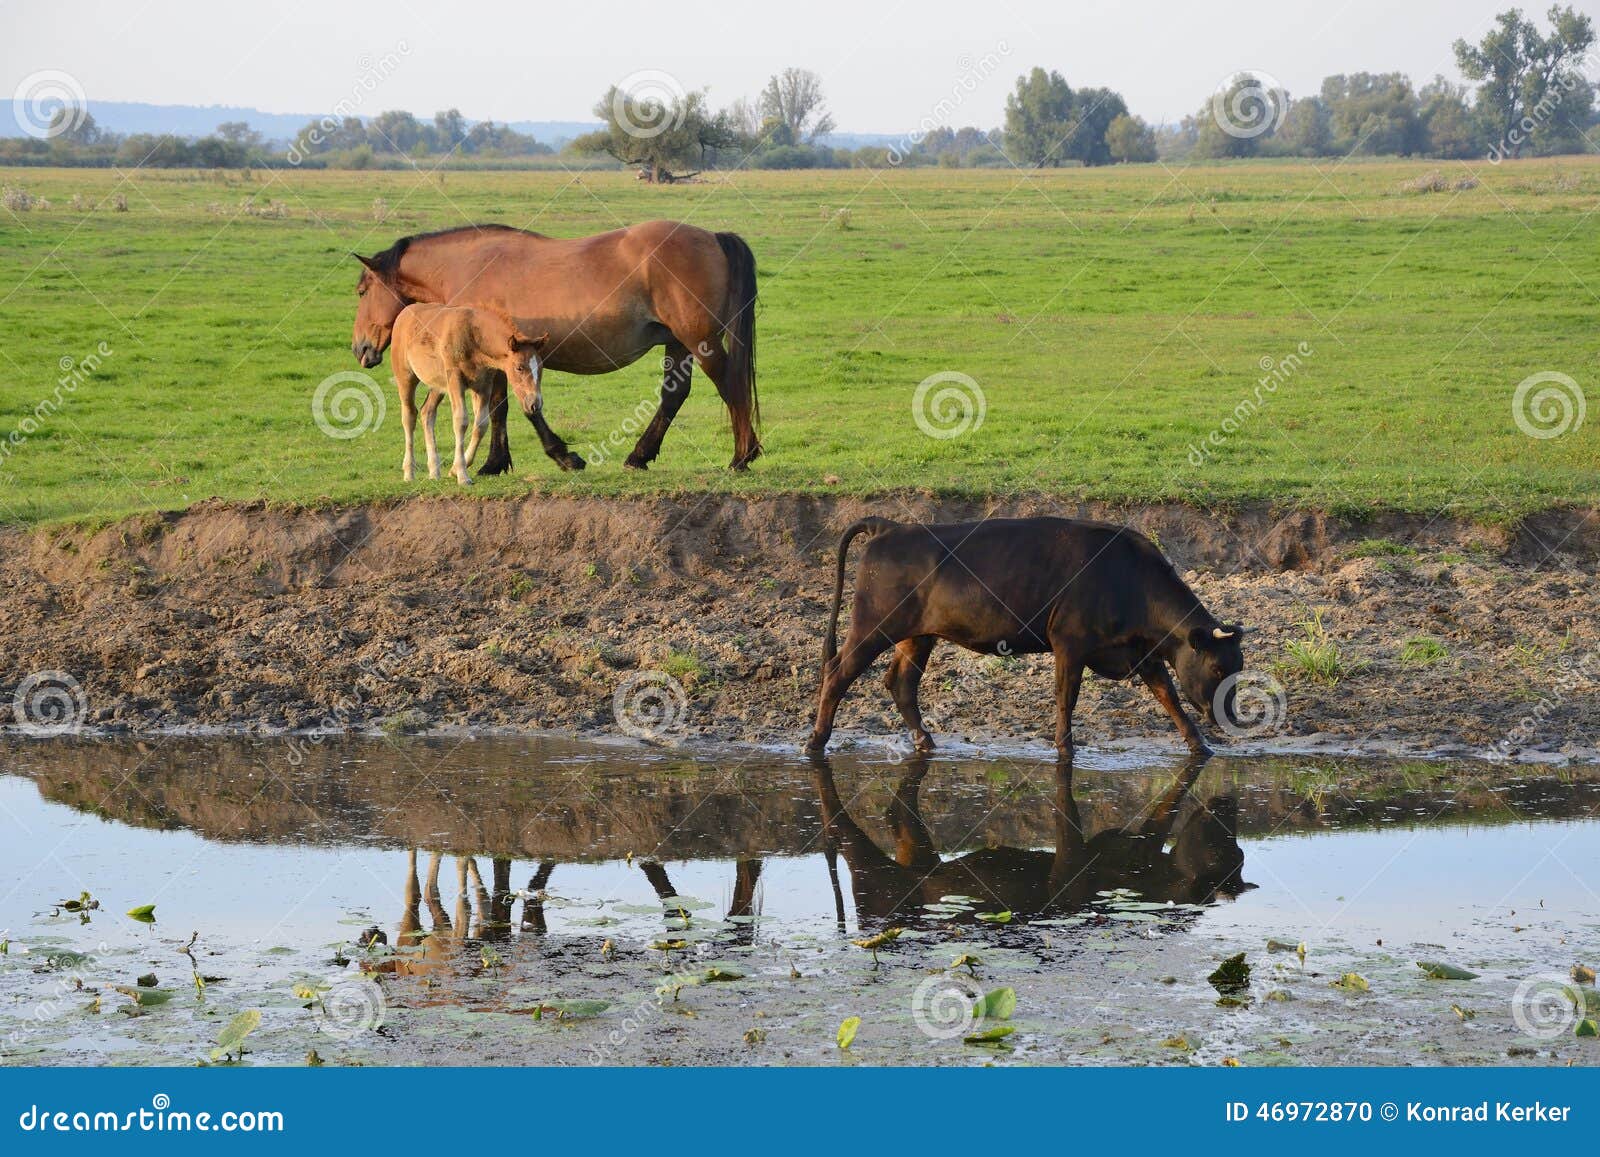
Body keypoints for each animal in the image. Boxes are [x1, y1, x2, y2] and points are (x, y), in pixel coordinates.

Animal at [389, 303, 548, 486]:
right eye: (519, 368)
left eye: (541, 367)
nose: (534, 403)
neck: (473, 337)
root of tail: (404, 313)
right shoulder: (455, 379)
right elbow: (461, 421)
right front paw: (462, 475)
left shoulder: (484, 385)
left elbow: (481, 425)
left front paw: (454, 470)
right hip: (406, 377)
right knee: (409, 416)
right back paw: (409, 472)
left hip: (438, 385)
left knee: (427, 413)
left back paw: (434, 471)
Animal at [803, 516, 1249, 758]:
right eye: (1216, 667)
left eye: (1238, 668)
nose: (1229, 716)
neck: (1129, 579)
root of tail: (890, 527)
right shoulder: (1070, 643)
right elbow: (1066, 696)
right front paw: (1065, 748)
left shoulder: (1141, 652)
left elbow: (1168, 696)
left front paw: (1200, 746)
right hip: (873, 625)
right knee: (838, 673)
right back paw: (816, 741)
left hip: (918, 636)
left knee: (901, 683)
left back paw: (926, 741)